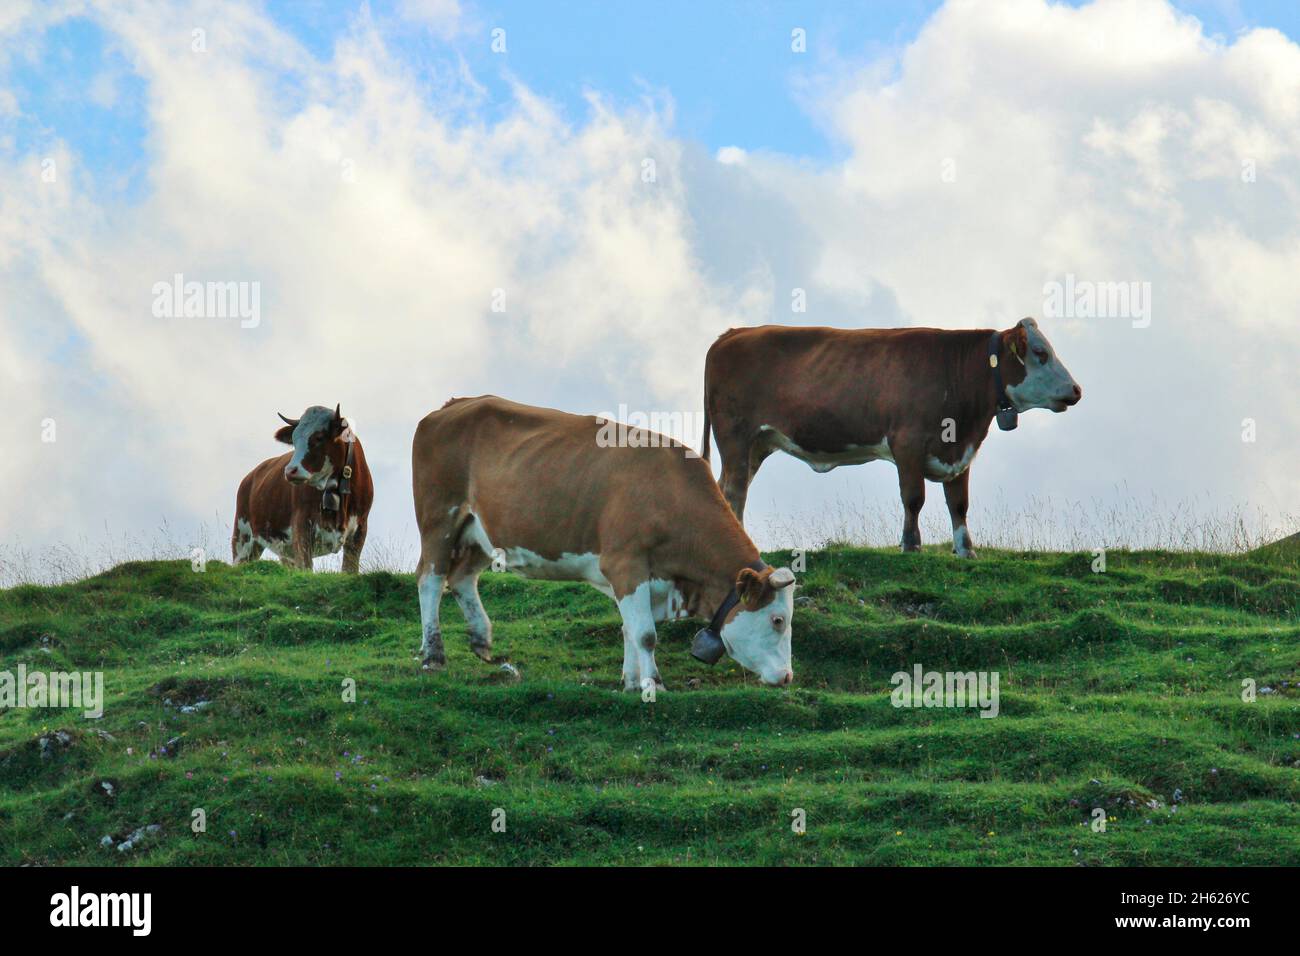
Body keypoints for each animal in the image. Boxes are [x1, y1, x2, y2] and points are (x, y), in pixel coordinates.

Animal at [232, 404, 374, 572]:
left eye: (319, 437)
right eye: (294, 439)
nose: (290, 471)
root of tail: (249, 477)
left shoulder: (359, 531)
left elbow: (349, 569)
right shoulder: (301, 528)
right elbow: (306, 567)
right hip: (242, 538)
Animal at [411, 396, 798, 689]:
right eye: (778, 620)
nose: (787, 676)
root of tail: (456, 404)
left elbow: (629, 629)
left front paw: (631, 682)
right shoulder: (625, 564)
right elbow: (645, 633)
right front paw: (653, 684)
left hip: (481, 533)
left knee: (462, 577)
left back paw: (481, 639)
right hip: (439, 517)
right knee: (430, 579)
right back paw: (433, 655)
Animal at [702, 318, 1081, 558]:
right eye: (1040, 353)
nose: (1076, 390)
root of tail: (735, 333)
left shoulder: (959, 451)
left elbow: (959, 504)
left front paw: (966, 550)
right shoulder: (907, 444)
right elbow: (914, 499)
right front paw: (911, 545)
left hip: (756, 445)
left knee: (725, 490)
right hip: (736, 438)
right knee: (733, 491)